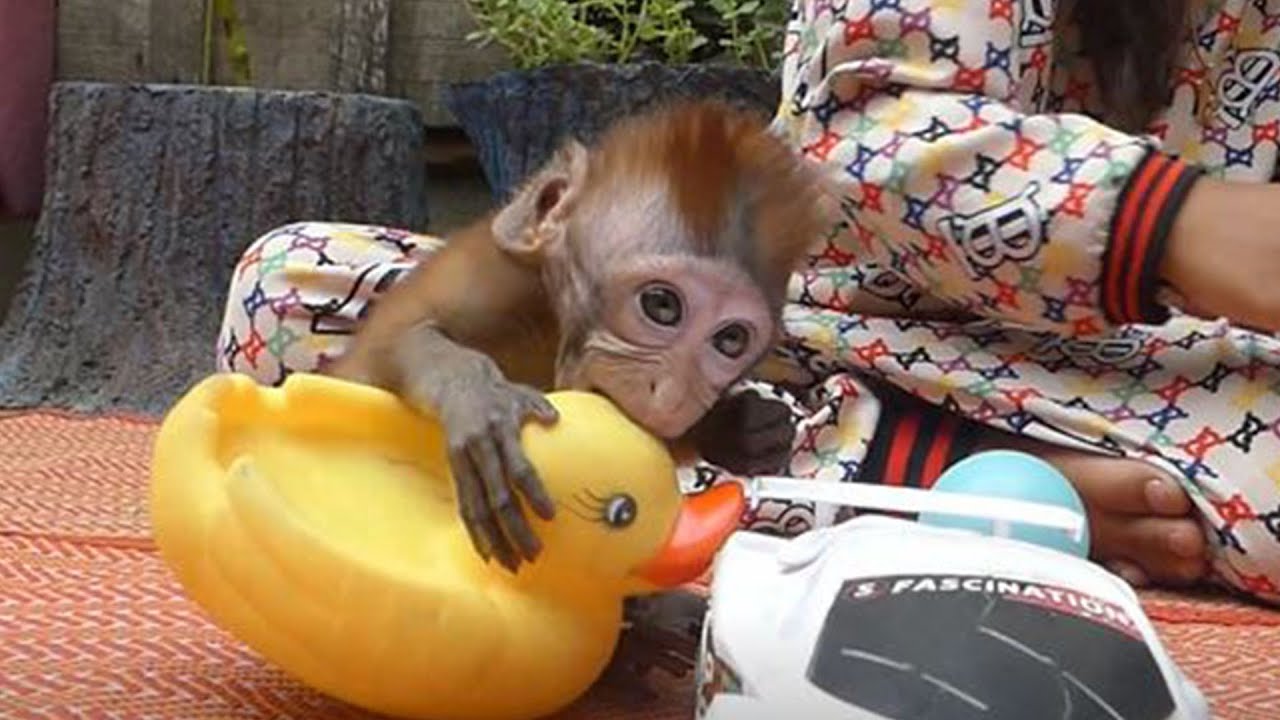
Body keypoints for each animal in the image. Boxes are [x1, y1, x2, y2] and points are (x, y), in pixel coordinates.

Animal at [328, 100, 827, 573]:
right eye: (662, 305)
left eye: (730, 340)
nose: (671, 395)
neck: (553, 325)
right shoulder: (492, 276)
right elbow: (392, 343)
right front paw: (478, 396)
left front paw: (743, 427)